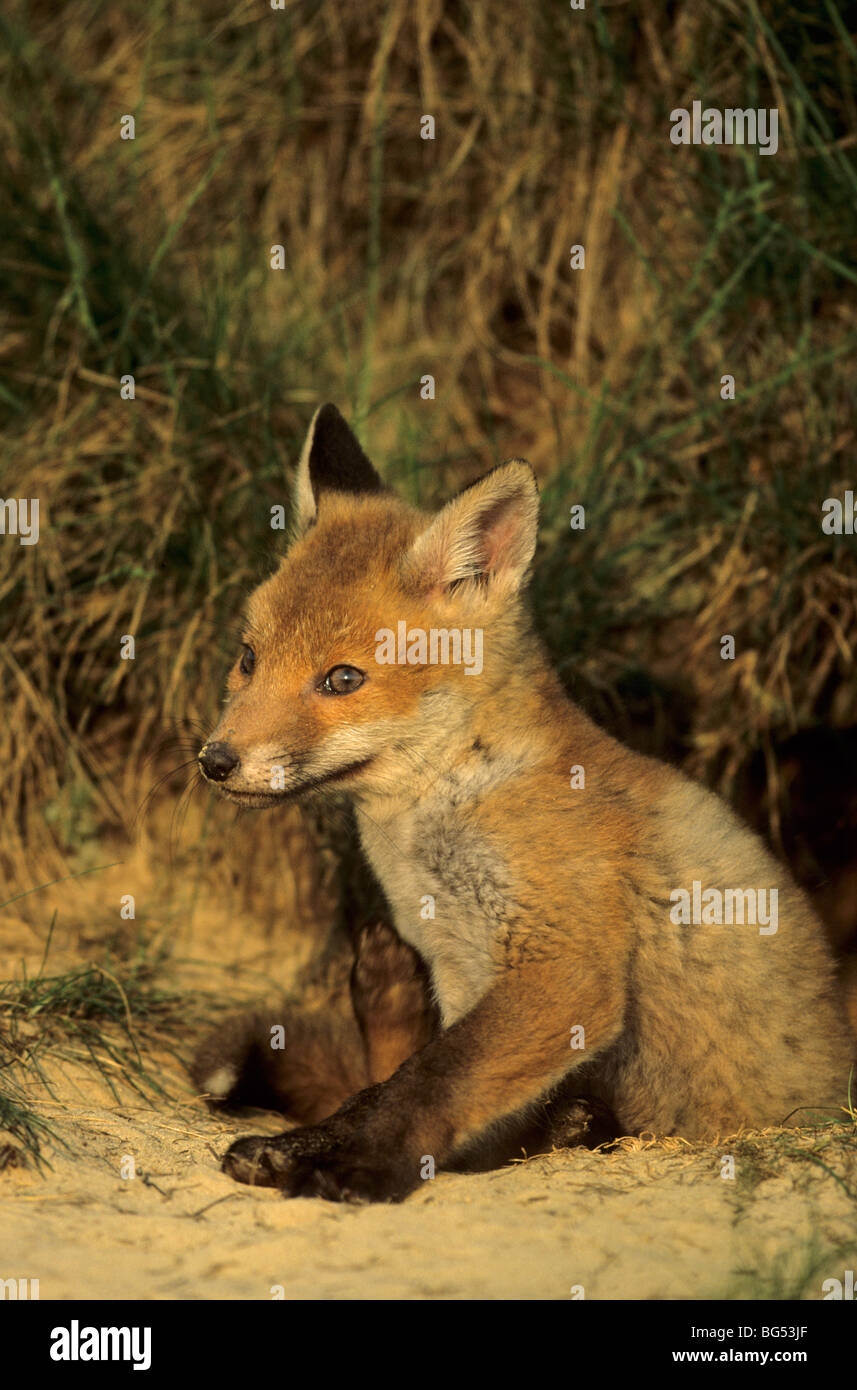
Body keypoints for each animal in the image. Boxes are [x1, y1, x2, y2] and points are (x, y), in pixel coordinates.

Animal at [193, 402, 854, 1202]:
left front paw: (352, 1163)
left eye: (342, 680)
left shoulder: (563, 971)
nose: (215, 761)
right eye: (248, 658)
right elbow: (399, 1084)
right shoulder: (460, 967)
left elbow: (423, 1082)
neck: (466, 791)